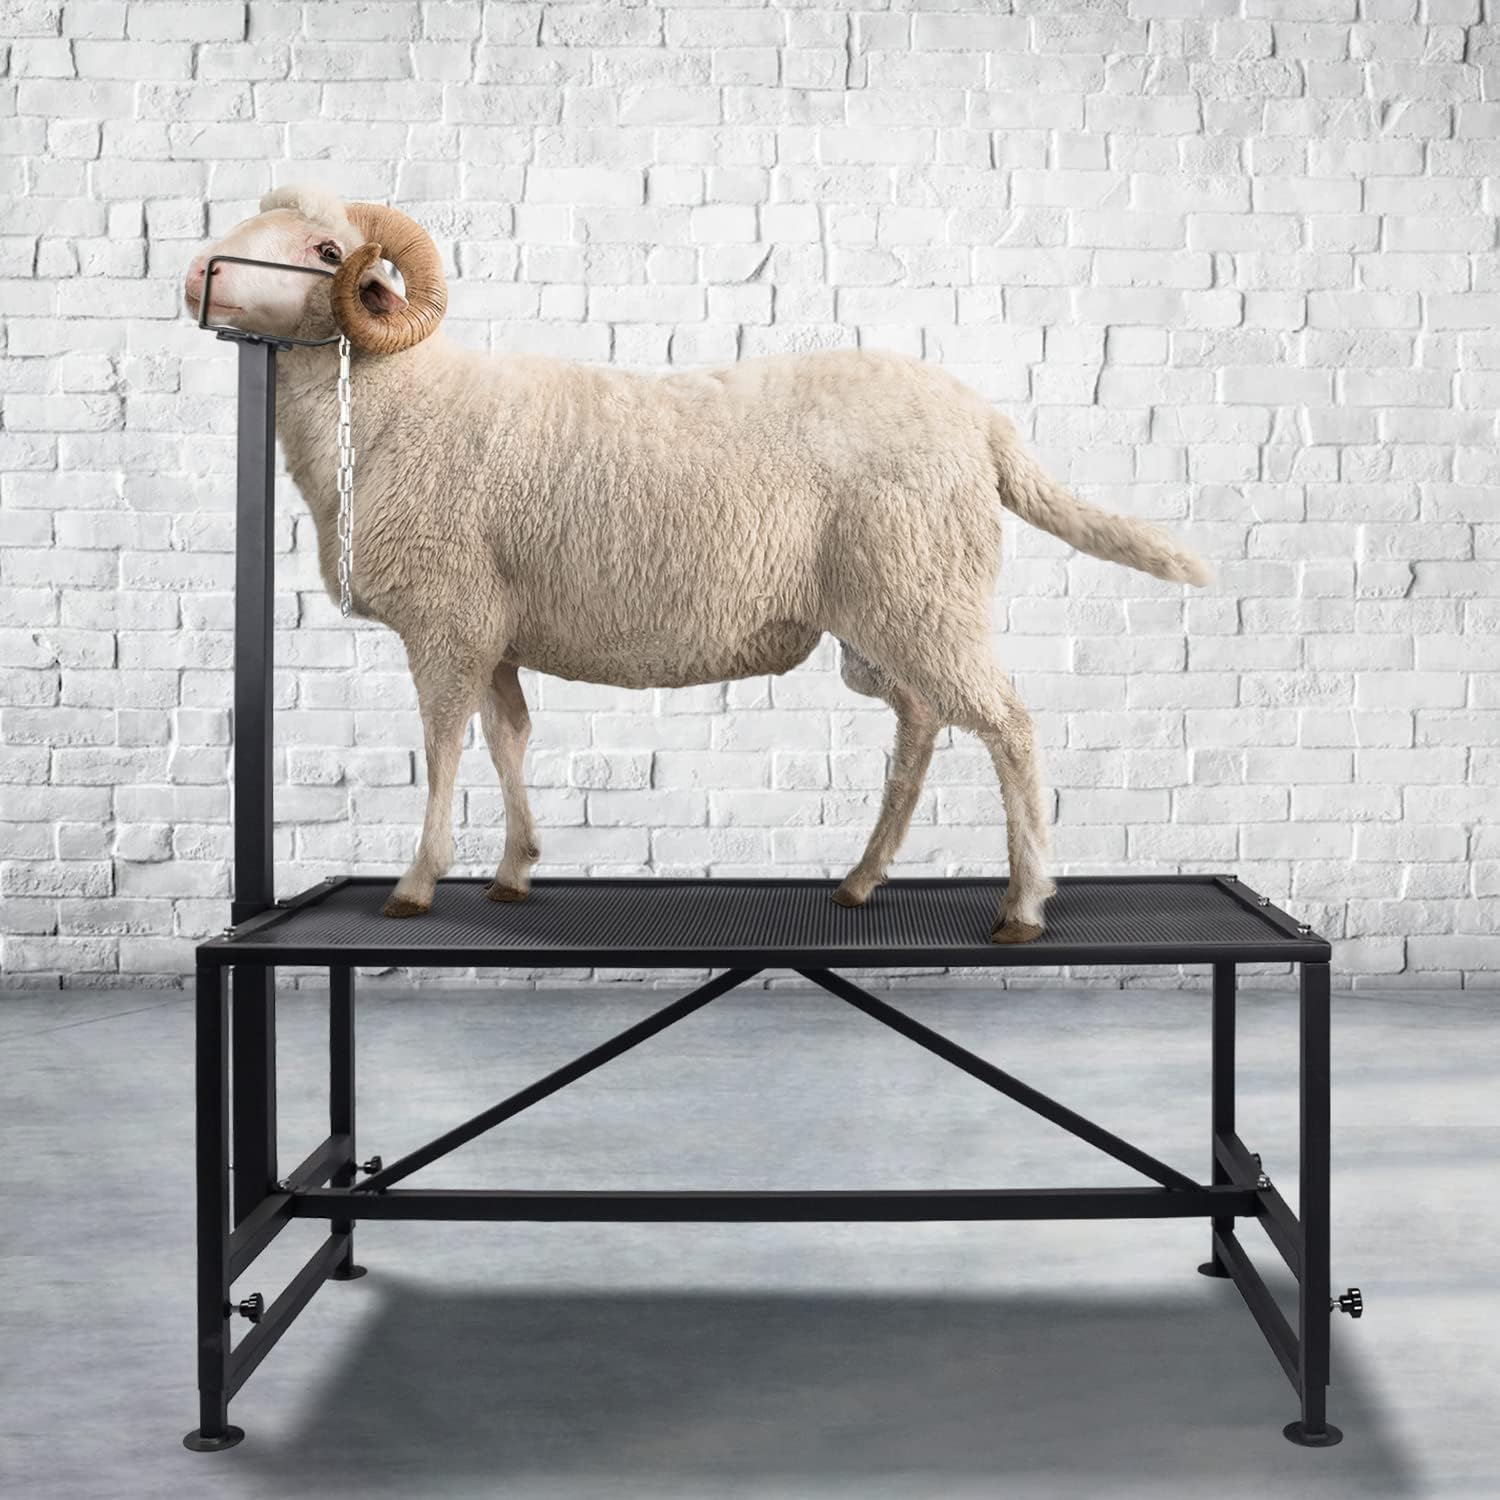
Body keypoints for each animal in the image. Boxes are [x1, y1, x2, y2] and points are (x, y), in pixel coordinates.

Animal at [183, 185, 1212, 942]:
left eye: (328, 252)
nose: (198, 272)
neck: (395, 400)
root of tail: (984, 422)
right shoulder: (496, 630)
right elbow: (511, 738)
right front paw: (515, 870)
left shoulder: (448, 619)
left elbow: (441, 750)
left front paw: (416, 883)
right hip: (886, 618)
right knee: (922, 722)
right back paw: (862, 880)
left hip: (925, 594)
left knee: (1010, 726)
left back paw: (1024, 905)